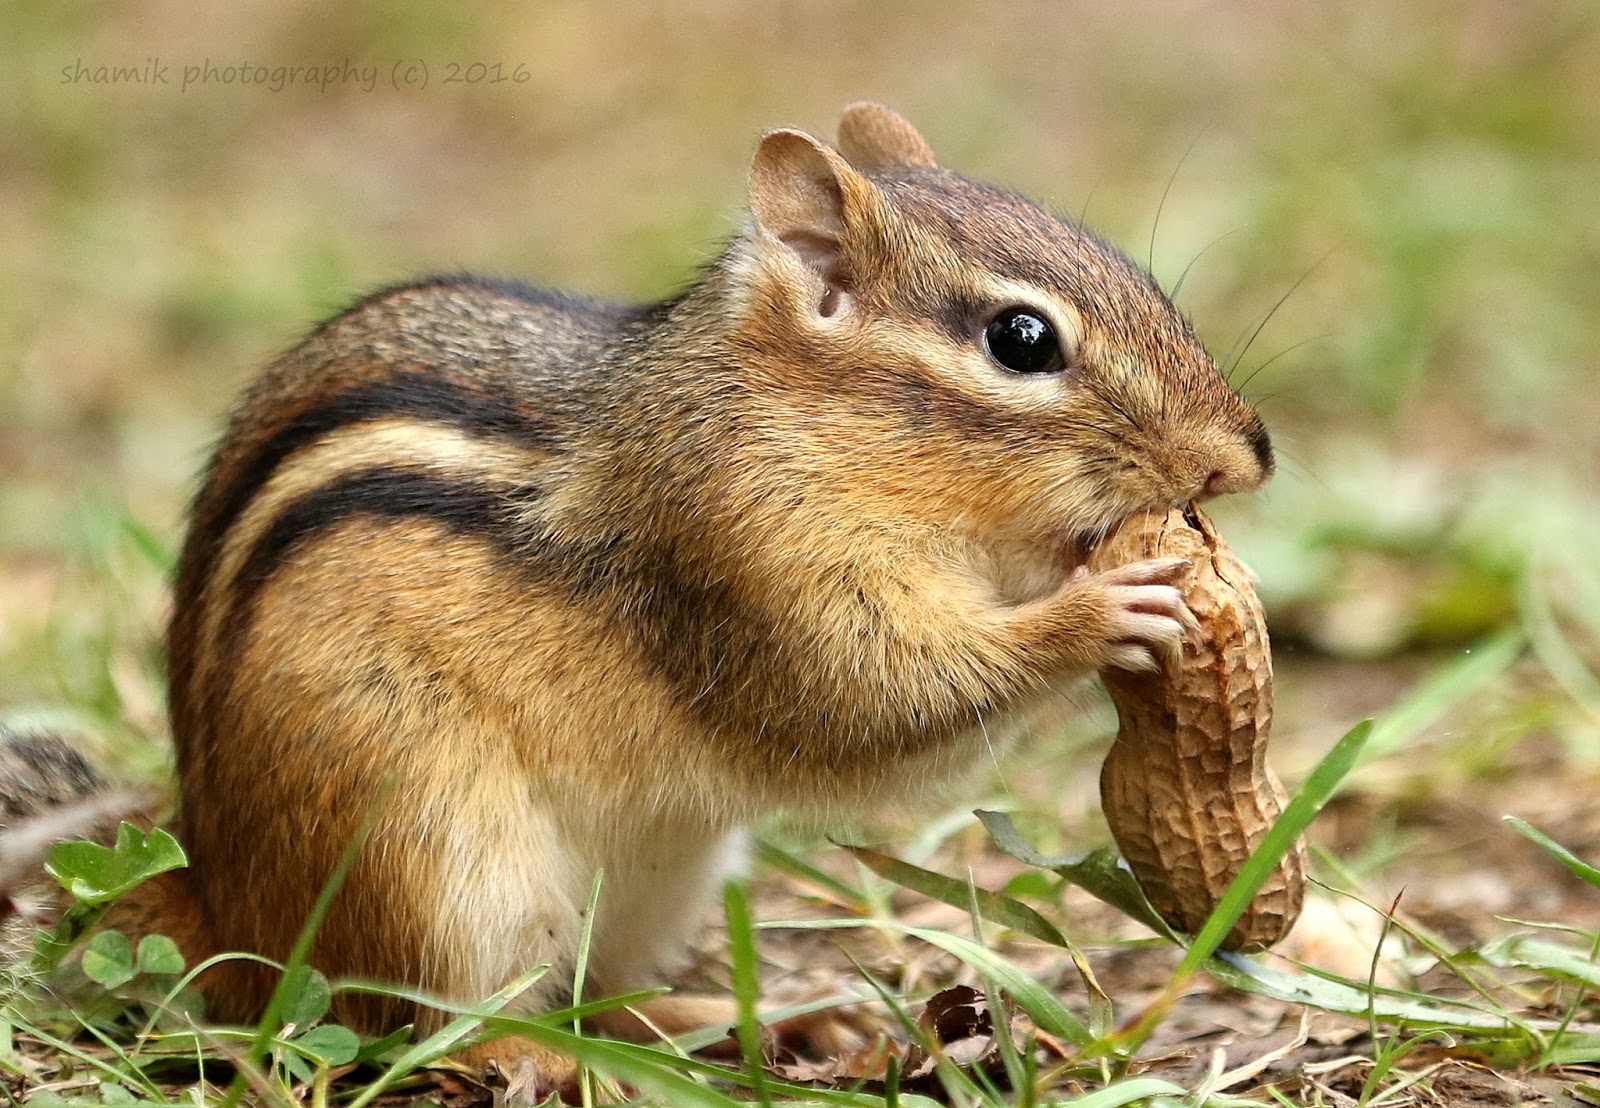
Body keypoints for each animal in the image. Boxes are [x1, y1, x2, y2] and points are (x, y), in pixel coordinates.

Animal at [3, 103, 1271, 1097]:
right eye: (1021, 339)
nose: (1245, 457)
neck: (786, 414)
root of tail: (225, 917)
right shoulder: (744, 559)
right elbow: (874, 702)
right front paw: (1106, 606)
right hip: (427, 848)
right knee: (413, 1024)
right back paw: (546, 1057)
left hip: (660, 878)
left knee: (598, 997)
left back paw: (770, 1025)